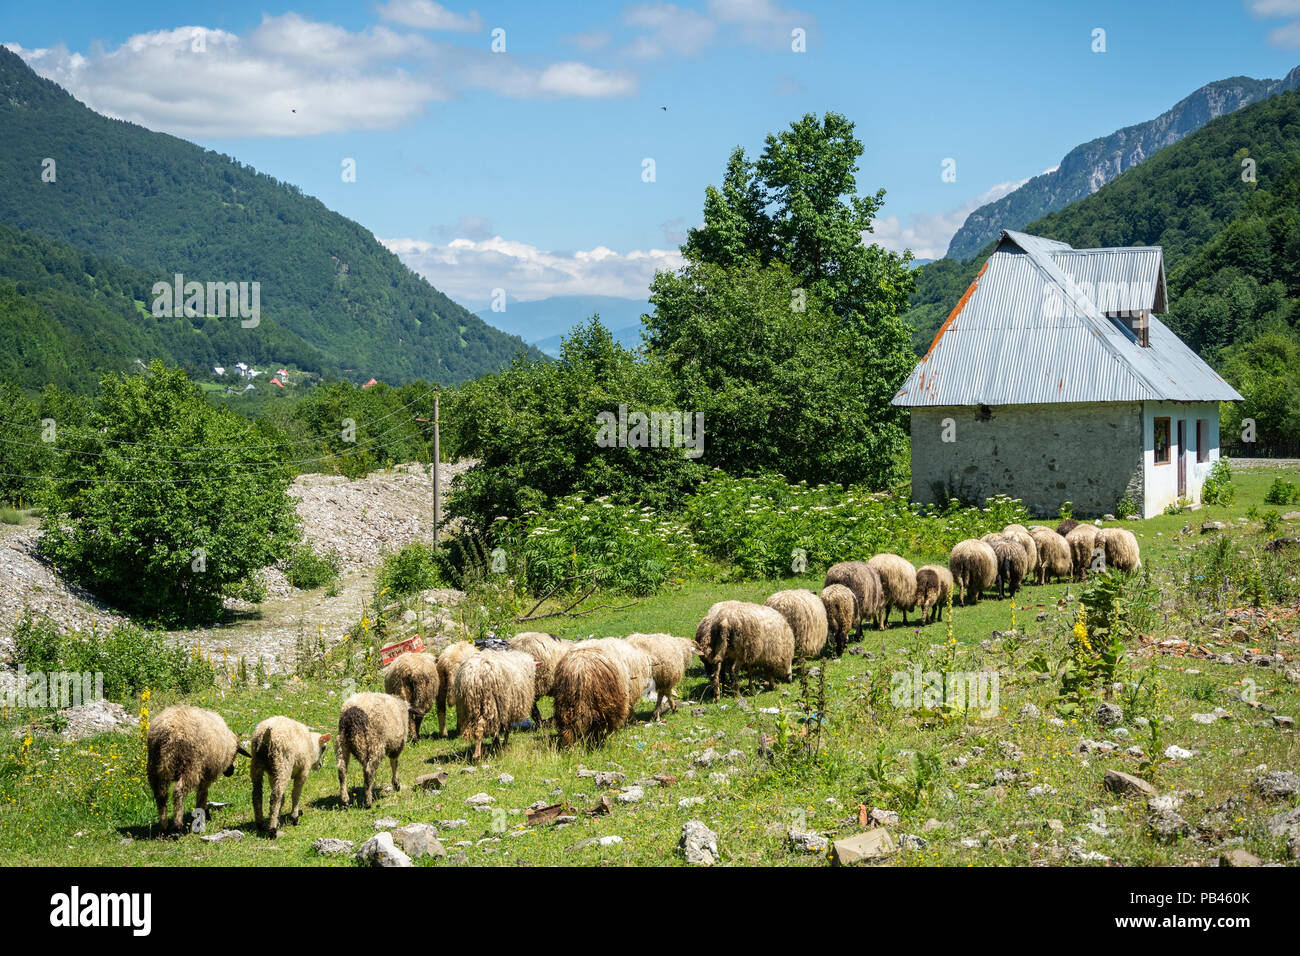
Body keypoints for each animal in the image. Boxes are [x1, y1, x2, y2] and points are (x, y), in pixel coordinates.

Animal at [146, 705, 249, 835]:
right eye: (235, 754)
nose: (231, 772)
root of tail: (168, 733)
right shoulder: (206, 775)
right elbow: (202, 794)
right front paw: (203, 816)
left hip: (155, 768)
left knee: (161, 795)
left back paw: (164, 828)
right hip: (191, 767)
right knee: (178, 792)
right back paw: (177, 828)